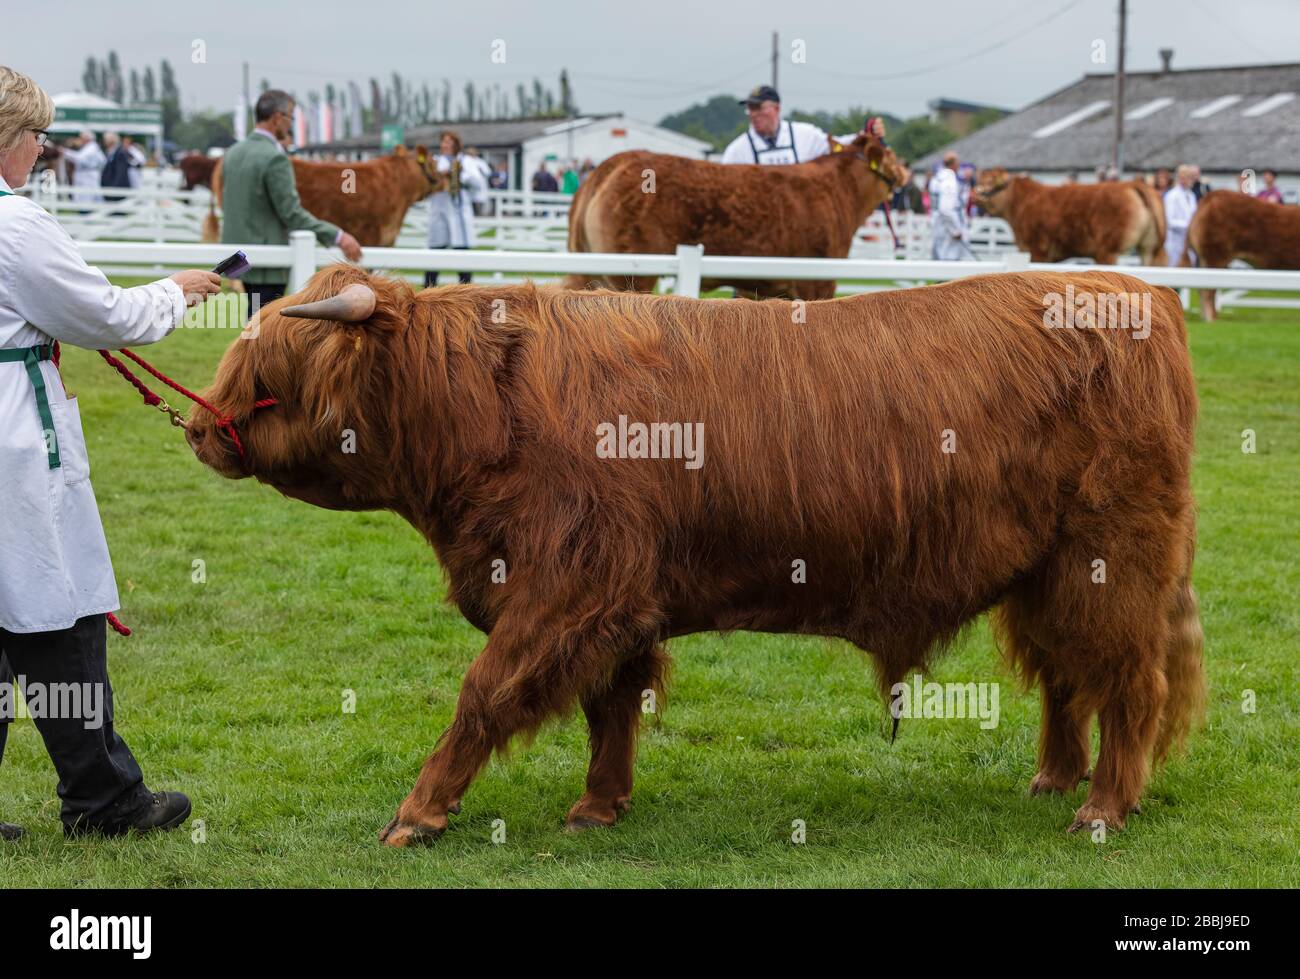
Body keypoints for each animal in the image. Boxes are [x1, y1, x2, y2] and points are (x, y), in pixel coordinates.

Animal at [186, 265, 1204, 846]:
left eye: (270, 374)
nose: (196, 427)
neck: (482, 403)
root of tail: (1144, 292)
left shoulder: (570, 583)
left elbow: (486, 692)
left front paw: (416, 813)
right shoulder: (616, 594)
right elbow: (609, 703)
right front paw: (599, 806)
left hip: (1112, 556)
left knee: (1131, 681)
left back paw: (1102, 807)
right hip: (1049, 570)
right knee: (1067, 673)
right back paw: (1054, 776)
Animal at [563, 128, 901, 299]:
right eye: (890, 152)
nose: (905, 171)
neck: (839, 190)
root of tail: (611, 165)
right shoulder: (816, 280)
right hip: (630, 272)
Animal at [975, 169, 1167, 266]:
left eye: (991, 181)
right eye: (979, 179)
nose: (973, 194)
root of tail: (1132, 184)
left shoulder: (1038, 250)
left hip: (1108, 250)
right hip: (1148, 248)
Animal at [1182, 189, 1300, 320]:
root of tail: (1211, 197)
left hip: (1202, 259)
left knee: (1202, 289)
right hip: (1214, 257)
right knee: (1208, 291)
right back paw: (1212, 319)